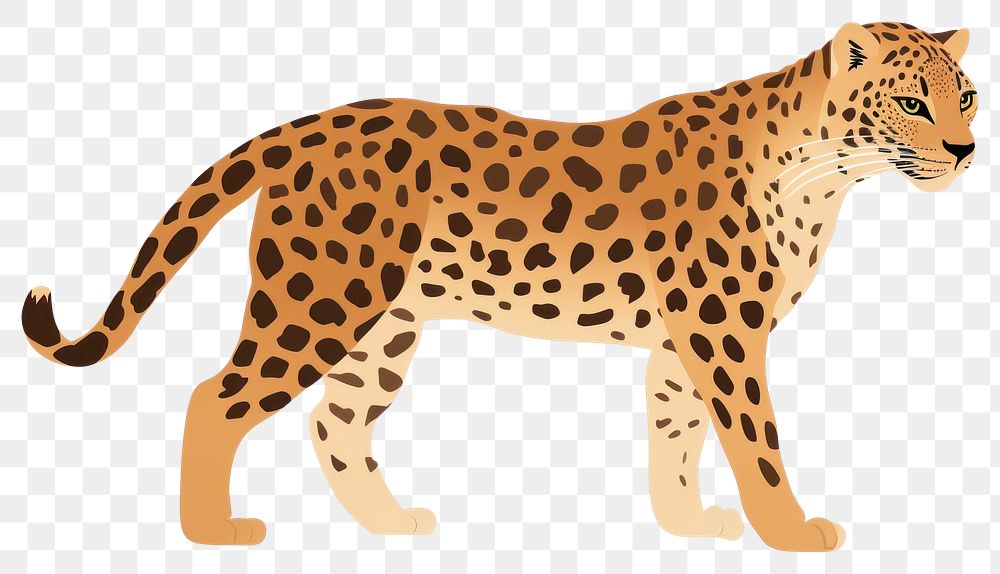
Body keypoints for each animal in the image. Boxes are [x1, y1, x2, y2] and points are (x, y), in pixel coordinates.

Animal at [22, 22, 976, 551]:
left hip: (384, 327)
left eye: (966, 96)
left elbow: (676, 435)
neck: (826, 176)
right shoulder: (721, 330)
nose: (967, 150)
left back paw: (387, 526)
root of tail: (307, 126)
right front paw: (791, 532)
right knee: (214, 398)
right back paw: (210, 532)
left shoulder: (684, 341)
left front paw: (685, 524)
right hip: (319, 298)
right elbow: (756, 440)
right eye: (913, 104)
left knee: (336, 423)